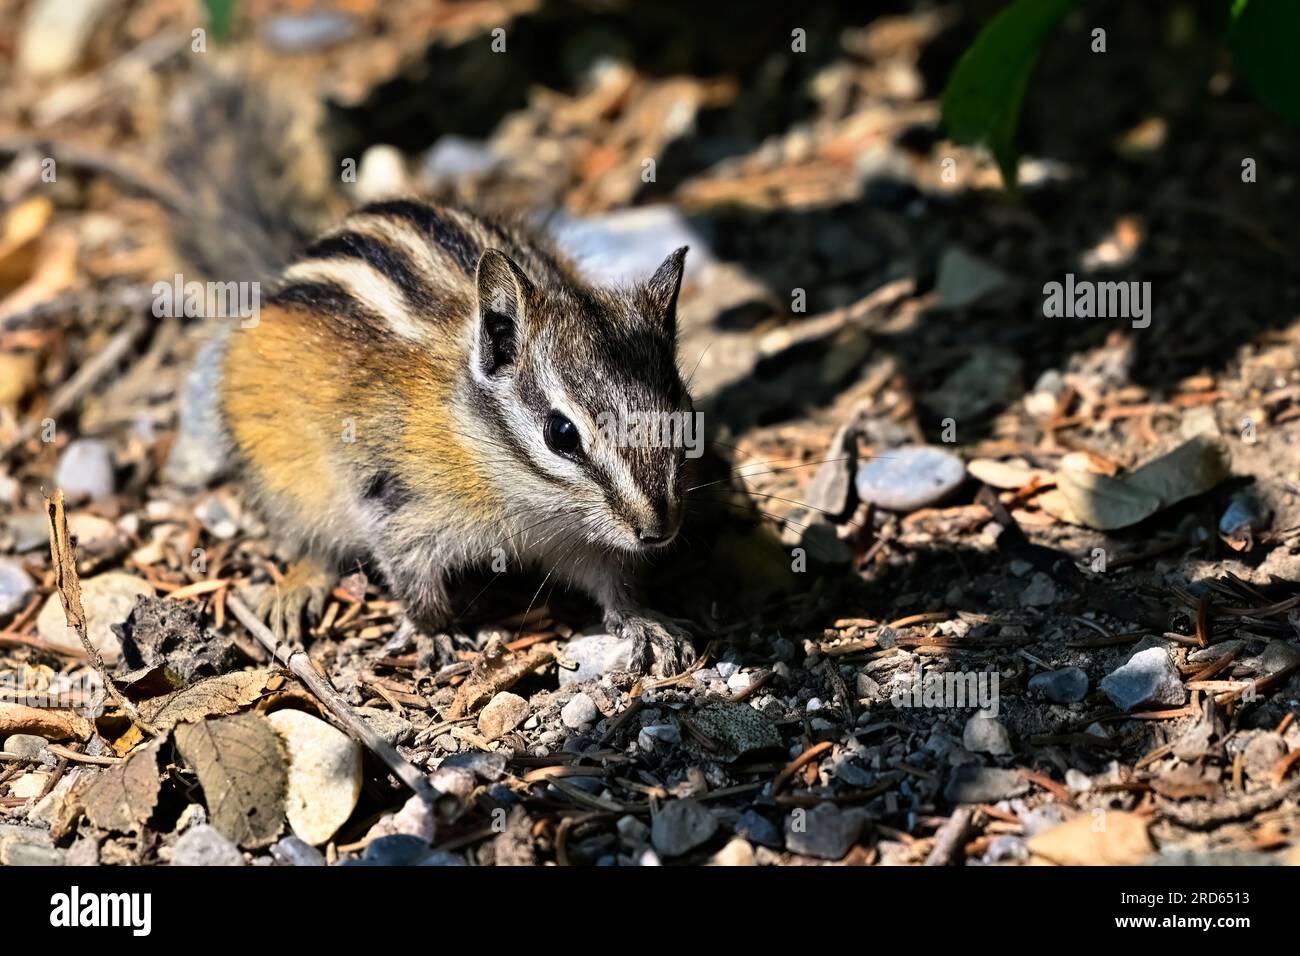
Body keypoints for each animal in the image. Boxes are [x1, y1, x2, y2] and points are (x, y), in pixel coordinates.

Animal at [162, 75, 699, 676]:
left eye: (682, 411)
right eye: (561, 434)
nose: (659, 531)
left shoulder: (587, 540)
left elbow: (611, 581)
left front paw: (644, 622)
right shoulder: (394, 502)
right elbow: (410, 575)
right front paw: (432, 632)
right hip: (286, 480)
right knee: (308, 541)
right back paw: (299, 585)